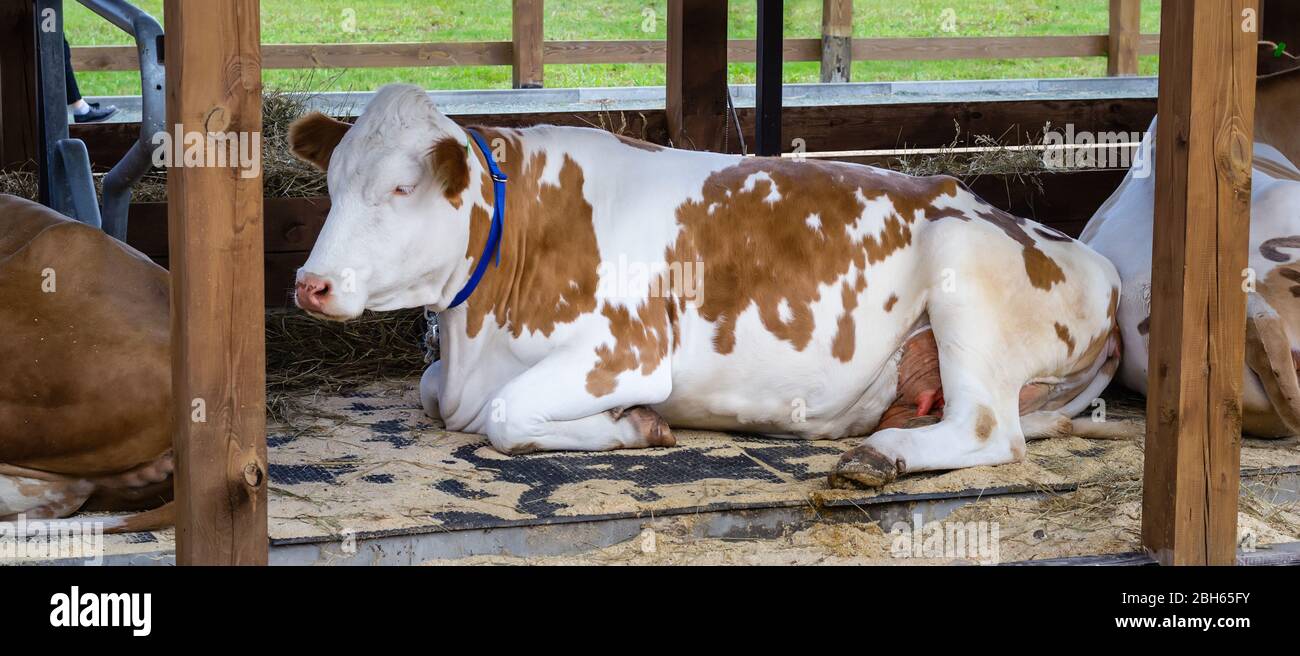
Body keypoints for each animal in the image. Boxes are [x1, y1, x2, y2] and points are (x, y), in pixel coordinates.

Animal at [288, 83, 1126, 489]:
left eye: (401, 189)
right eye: (331, 182)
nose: (310, 285)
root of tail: (1102, 269)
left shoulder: (625, 350)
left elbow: (503, 414)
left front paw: (636, 427)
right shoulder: (452, 376)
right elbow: (435, 392)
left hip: (962, 271)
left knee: (989, 431)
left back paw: (879, 456)